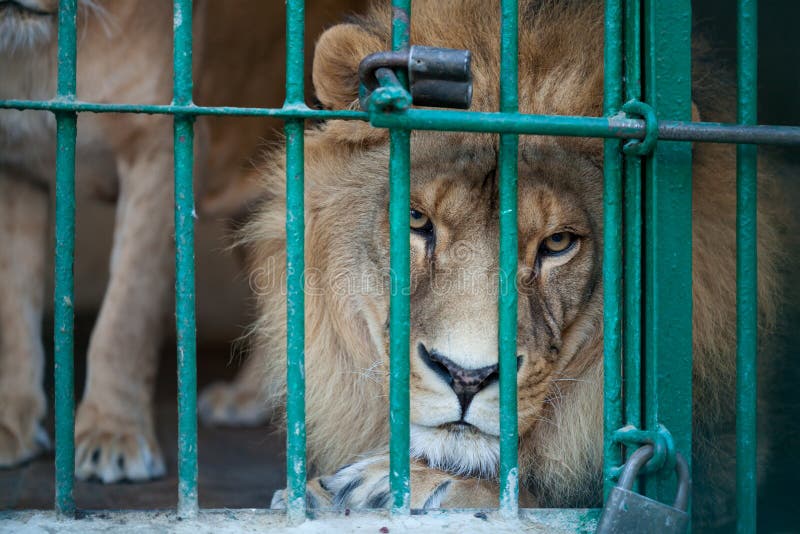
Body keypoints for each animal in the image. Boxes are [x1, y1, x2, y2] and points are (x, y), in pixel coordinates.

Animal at [0, 0, 366, 482]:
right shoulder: (15, 166)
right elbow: (14, 309)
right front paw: (9, 425)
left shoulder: (160, 152)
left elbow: (126, 311)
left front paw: (113, 433)